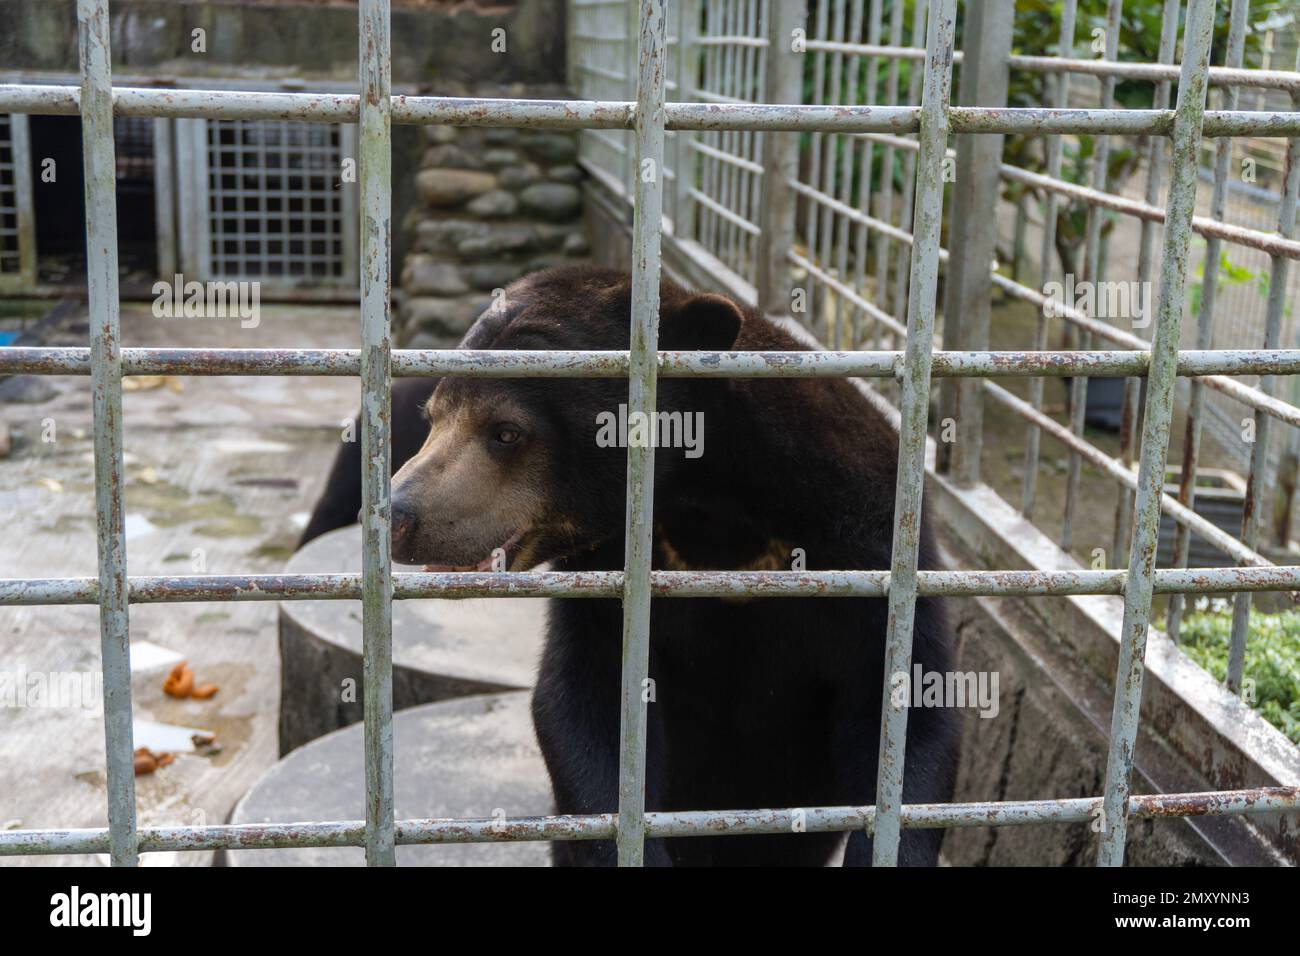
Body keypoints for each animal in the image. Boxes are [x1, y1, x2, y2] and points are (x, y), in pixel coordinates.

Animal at [378, 264, 961, 866]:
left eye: (506, 431)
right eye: (432, 416)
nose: (398, 513)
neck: (712, 511)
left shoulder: (871, 542)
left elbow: (909, 711)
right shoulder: (605, 572)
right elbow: (588, 702)